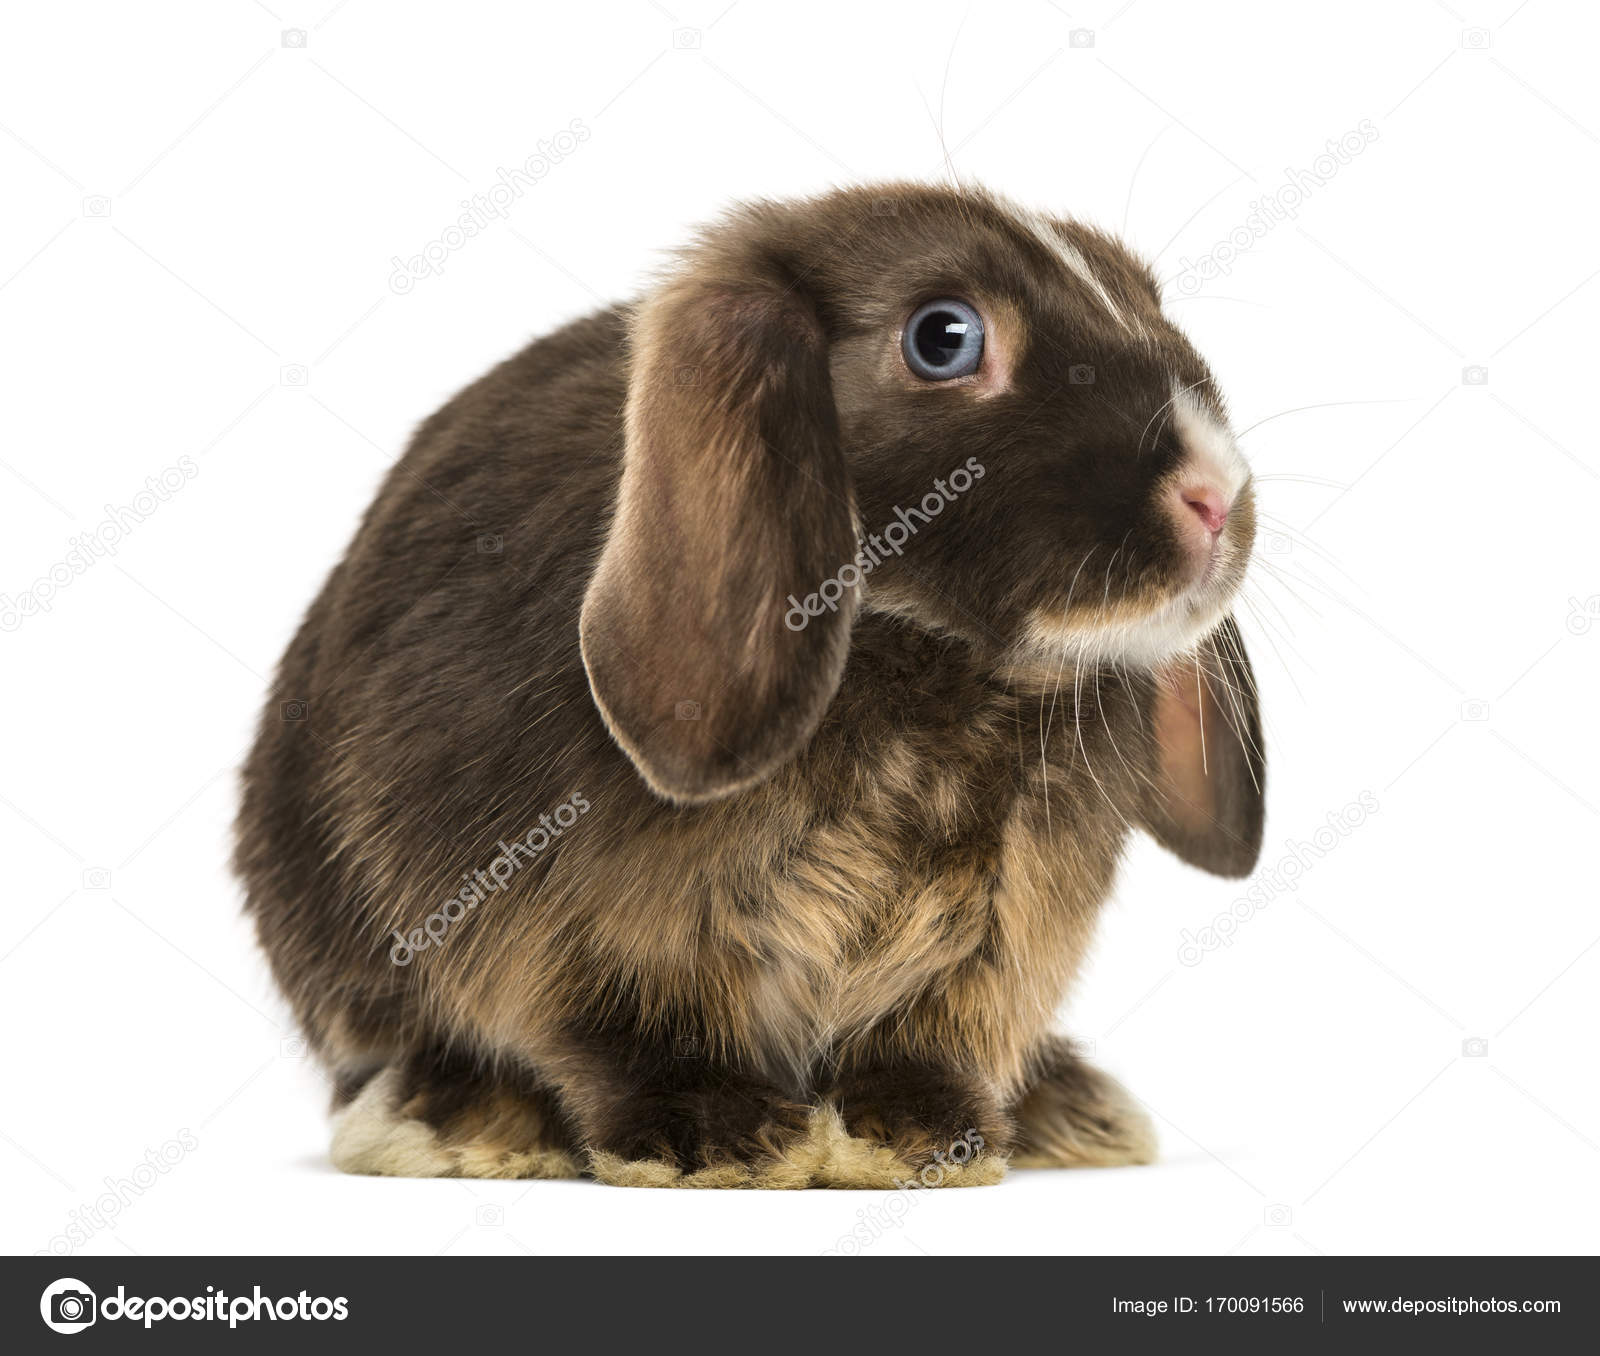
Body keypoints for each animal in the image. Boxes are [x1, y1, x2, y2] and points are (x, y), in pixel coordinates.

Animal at [235, 182, 1264, 1189]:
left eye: (1146, 299)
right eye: (944, 337)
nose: (1216, 497)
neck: (935, 673)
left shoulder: (997, 936)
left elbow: (928, 1043)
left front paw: (925, 1140)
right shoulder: (556, 926)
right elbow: (619, 1037)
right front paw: (719, 1139)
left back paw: (1068, 1108)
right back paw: (450, 1122)